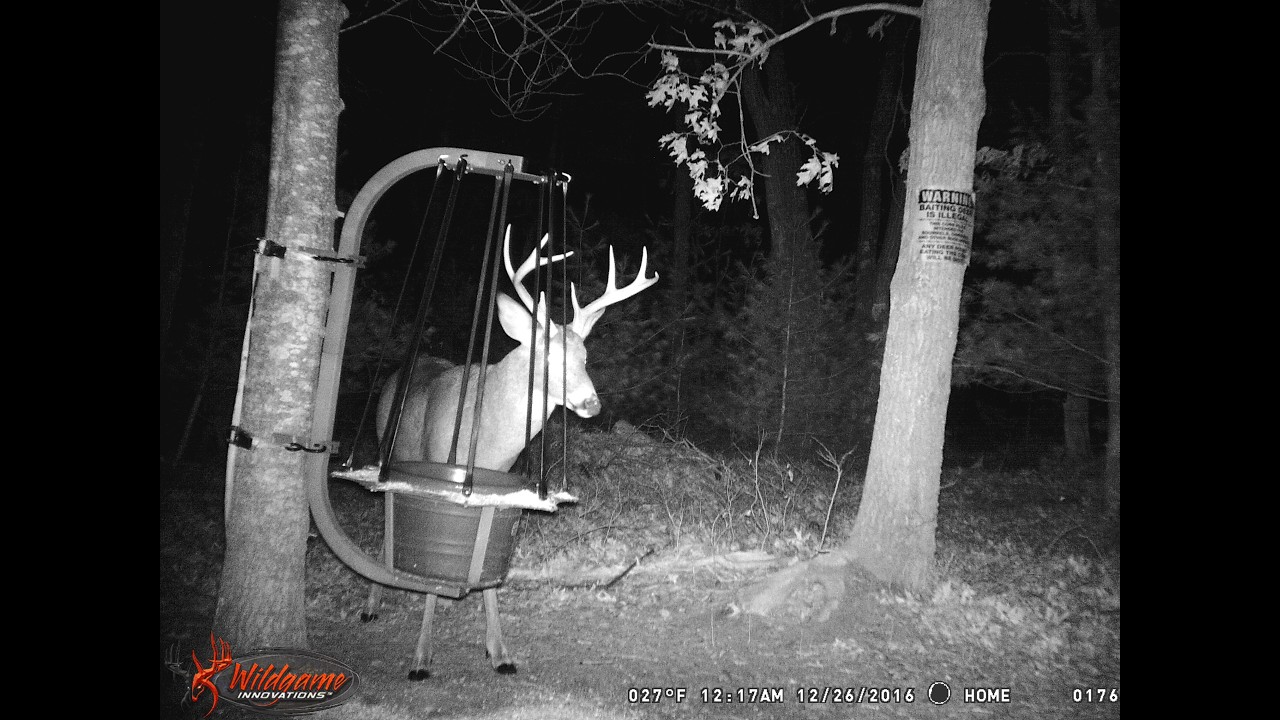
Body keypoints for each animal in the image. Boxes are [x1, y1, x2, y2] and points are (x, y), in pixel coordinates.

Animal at [367, 227, 657, 680]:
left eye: (585, 356)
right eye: (547, 358)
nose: (591, 403)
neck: (486, 439)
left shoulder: (497, 487)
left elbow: (486, 570)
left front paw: (500, 653)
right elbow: (435, 573)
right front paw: (421, 659)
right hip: (387, 448)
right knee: (386, 521)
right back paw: (372, 604)